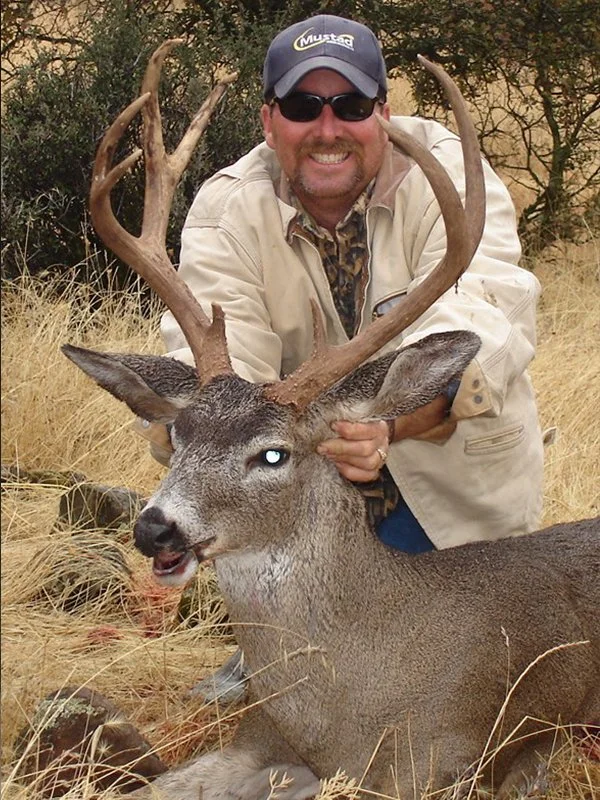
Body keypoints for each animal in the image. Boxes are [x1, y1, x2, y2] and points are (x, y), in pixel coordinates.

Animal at [59, 40, 599, 800]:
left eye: (273, 454)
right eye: (180, 435)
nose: (155, 527)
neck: (336, 704)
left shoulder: (444, 758)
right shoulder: (255, 734)